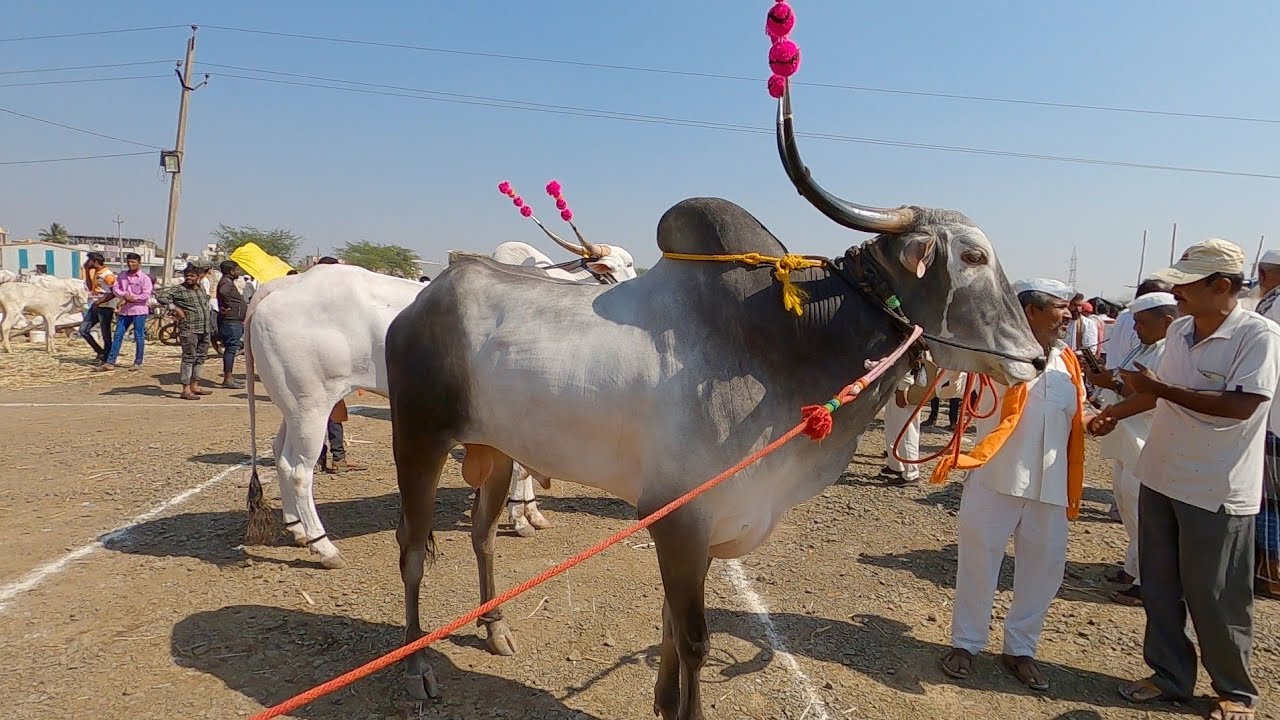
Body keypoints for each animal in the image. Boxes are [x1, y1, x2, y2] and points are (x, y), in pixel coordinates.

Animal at [242, 235, 639, 567]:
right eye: (619, 267)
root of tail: (283, 285)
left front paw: (530, 513)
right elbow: (522, 470)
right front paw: (520, 516)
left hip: (293, 404)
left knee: (280, 457)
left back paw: (297, 531)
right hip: (312, 403)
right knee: (299, 470)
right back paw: (324, 547)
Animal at [382, 84, 1045, 717]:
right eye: (974, 256)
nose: (1037, 359)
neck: (786, 345)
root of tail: (423, 301)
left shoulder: (703, 523)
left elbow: (673, 627)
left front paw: (663, 700)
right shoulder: (678, 515)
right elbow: (695, 638)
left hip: (496, 449)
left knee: (482, 533)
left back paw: (495, 627)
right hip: (417, 439)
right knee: (412, 548)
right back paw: (415, 669)